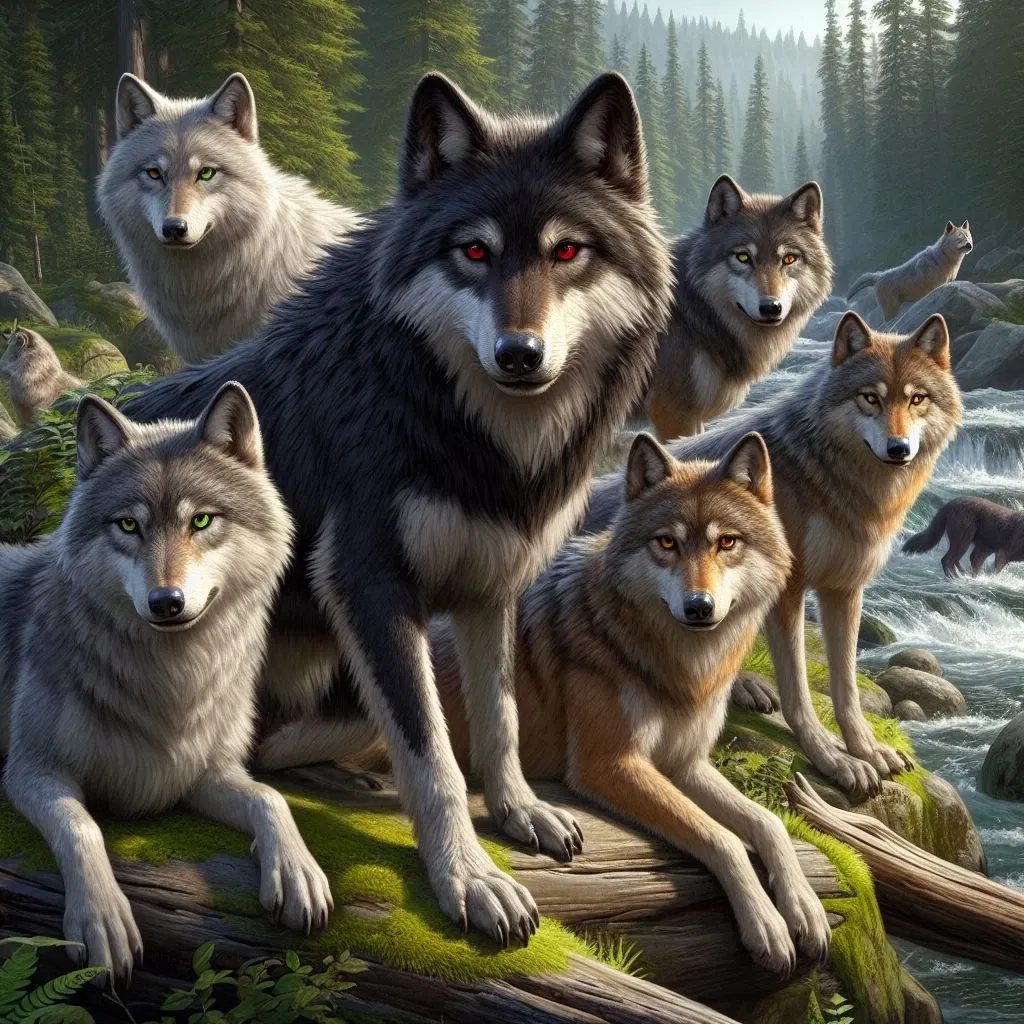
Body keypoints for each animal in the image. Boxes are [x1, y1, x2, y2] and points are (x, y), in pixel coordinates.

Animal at [0, 383, 332, 983]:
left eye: (201, 521)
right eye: (129, 525)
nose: (166, 602)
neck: (173, 680)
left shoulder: (204, 773)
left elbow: (271, 797)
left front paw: (298, 871)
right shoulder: (32, 769)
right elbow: (82, 827)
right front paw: (101, 918)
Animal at [427, 433, 831, 973]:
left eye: (727, 542)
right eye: (667, 543)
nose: (699, 607)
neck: (679, 668)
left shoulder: (684, 764)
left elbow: (768, 824)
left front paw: (804, 906)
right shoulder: (611, 765)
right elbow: (723, 838)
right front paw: (766, 923)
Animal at [586, 311, 963, 793]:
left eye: (917, 399)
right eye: (870, 399)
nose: (899, 449)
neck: (824, 480)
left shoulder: (844, 590)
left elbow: (846, 687)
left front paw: (866, 749)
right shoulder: (788, 592)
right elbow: (798, 689)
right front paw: (832, 759)